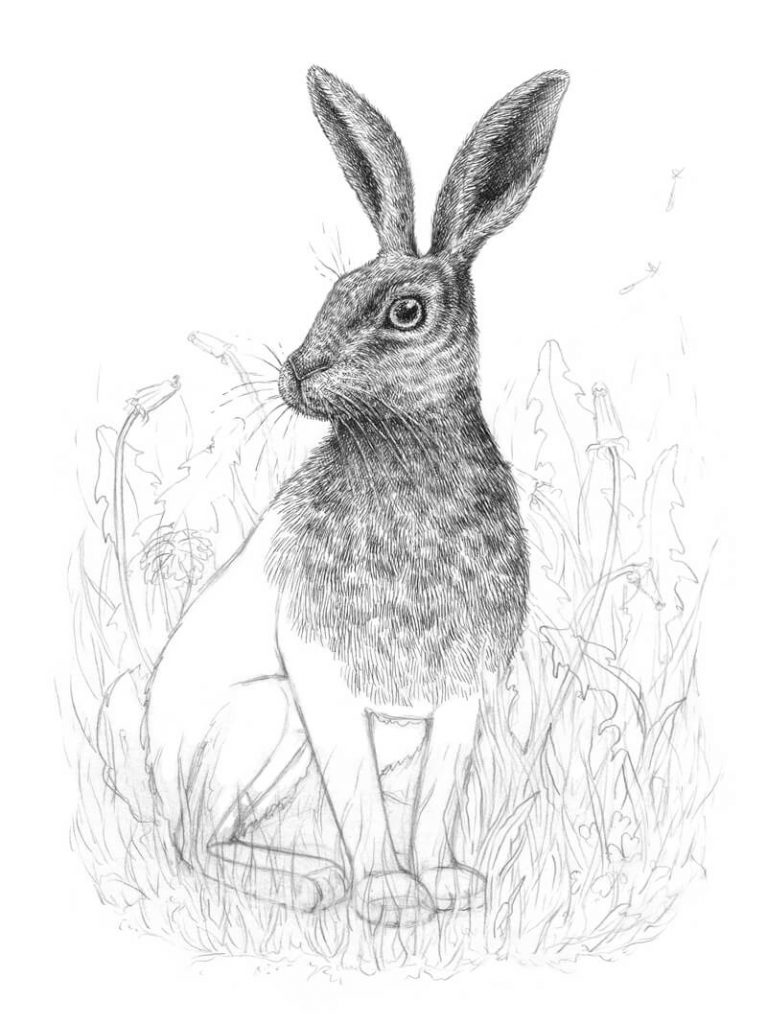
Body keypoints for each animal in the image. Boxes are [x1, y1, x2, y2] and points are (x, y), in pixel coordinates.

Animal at [145, 65, 568, 927]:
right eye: (334, 288)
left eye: (405, 312)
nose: (295, 374)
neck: (400, 447)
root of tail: (155, 786)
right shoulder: (320, 677)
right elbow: (361, 802)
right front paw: (391, 899)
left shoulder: (465, 690)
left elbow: (435, 800)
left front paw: (446, 885)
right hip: (266, 716)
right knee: (195, 847)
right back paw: (311, 880)